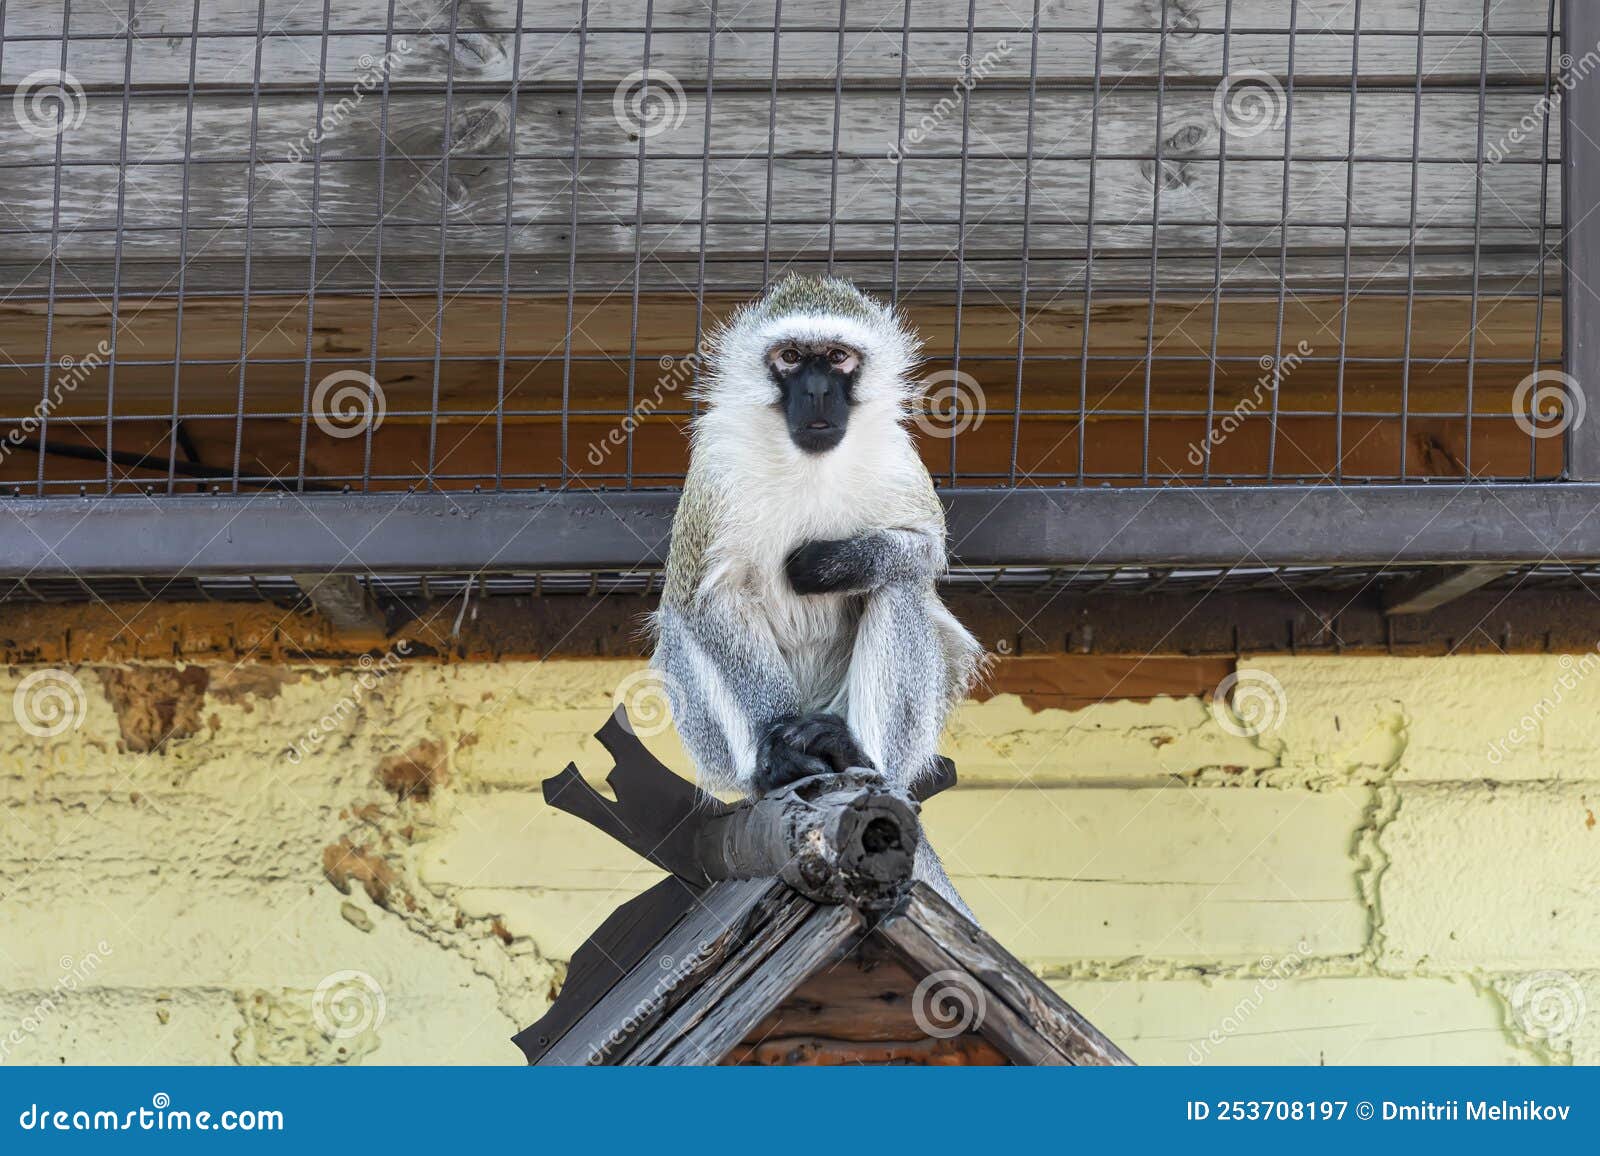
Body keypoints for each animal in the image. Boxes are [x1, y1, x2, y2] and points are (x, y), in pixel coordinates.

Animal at [650, 274, 985, 912]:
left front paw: (836, 565)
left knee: (900, 589)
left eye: (836, 356)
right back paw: (774, 769)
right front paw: (780, 750)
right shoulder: (715, 472)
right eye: (789, 357)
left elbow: (924, 551)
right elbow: (701, 601)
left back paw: (858, 755)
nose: (816, 393)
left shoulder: (899, 459)